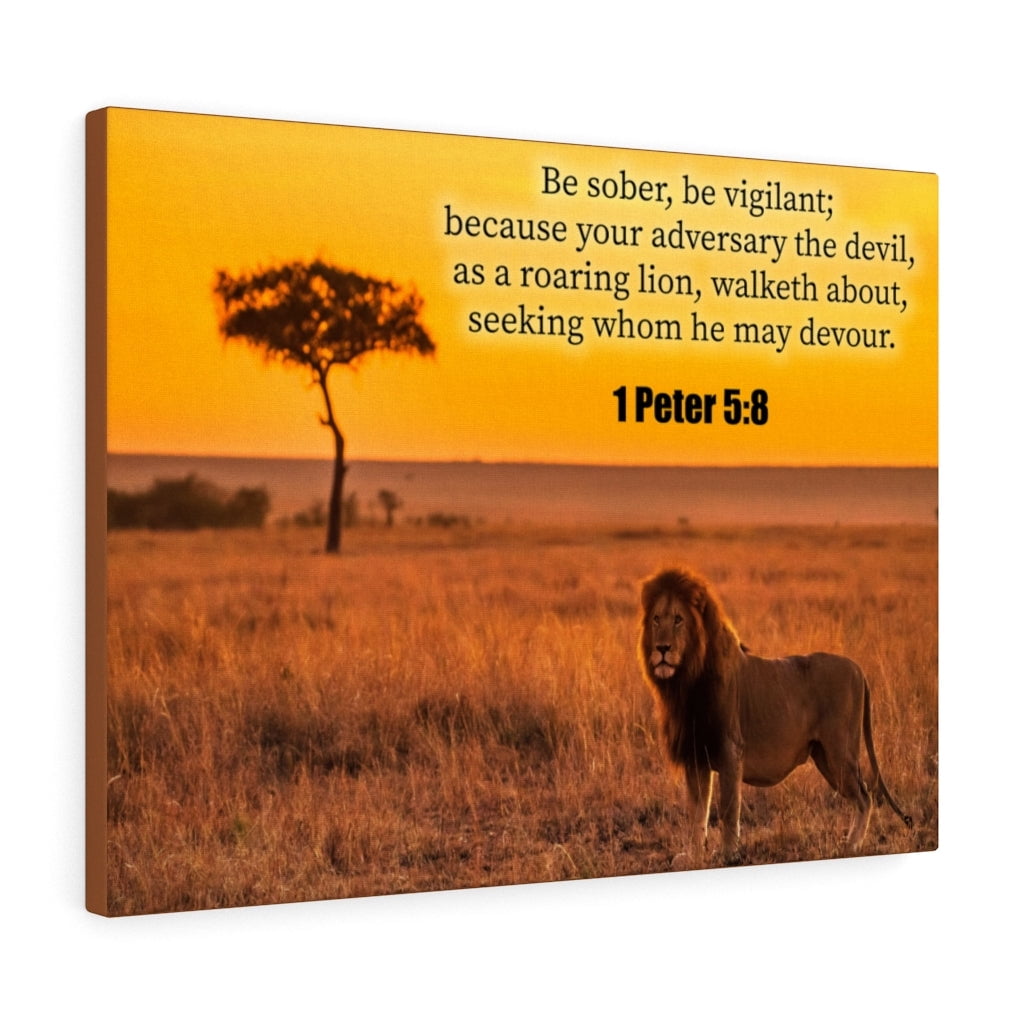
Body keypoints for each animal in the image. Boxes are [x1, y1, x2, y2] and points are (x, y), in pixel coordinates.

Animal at [638, 568, 912, 863]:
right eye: (656, 619)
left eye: (678, 619)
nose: (662, 649)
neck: (686, 682)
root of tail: (857, 668)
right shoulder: (696, 755)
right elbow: (697, 812)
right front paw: (694, 856)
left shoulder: (730, 750)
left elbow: (727, 808)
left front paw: (729, 855)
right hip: (824, 756)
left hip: (839, 752)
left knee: (865, 797)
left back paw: (850, 848)